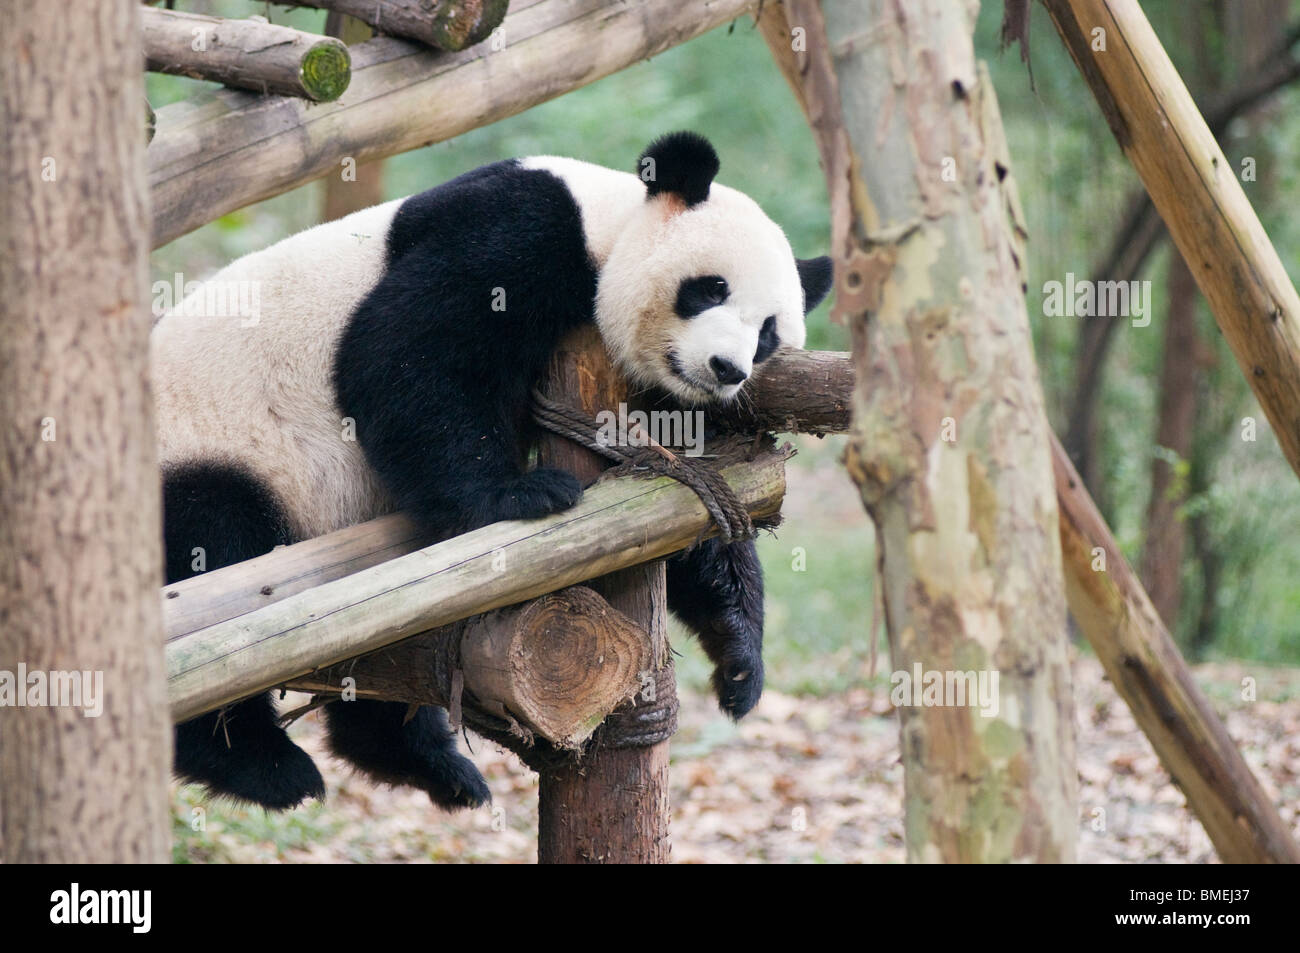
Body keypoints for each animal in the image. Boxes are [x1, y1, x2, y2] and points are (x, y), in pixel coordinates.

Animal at [154, 131, 833, 811]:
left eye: (768, 334)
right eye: (711, 288)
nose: (727, 369)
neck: (609, 224)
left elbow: (676, 501)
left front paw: (740, 661)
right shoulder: (522, 226)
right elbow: (405, 351)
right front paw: (523, 494)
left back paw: (426, 763)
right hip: (216, 452)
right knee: (215, 550)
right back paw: (260, 764)